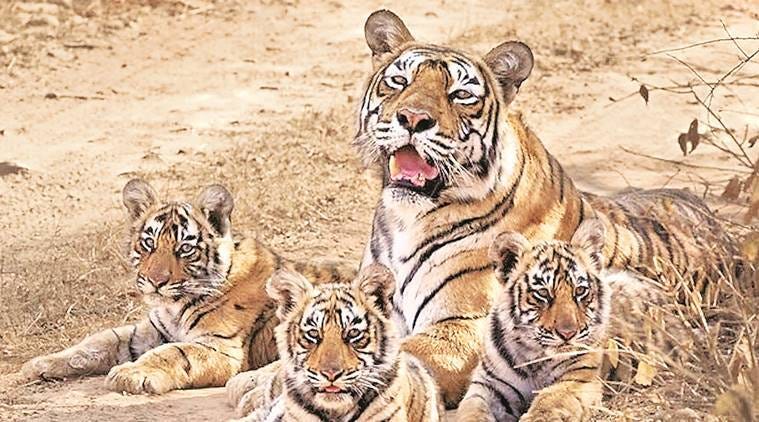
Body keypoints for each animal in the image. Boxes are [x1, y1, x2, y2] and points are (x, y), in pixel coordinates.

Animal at [20, 178, 355, 394]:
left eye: (184, 249)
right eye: (149, 244)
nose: (155, 282)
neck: (175, 305)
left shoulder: (219, 347)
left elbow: (172, 353)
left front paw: (131, 374)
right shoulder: (147, 331)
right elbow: (96, 342)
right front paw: (39, 364)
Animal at [458, 218, 693, 421]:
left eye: (580, 291)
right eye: (543, 293)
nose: (568, 333)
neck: (535, 357)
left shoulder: (579, 379)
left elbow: (550, 400)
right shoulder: (488, 384)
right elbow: (471, 409)